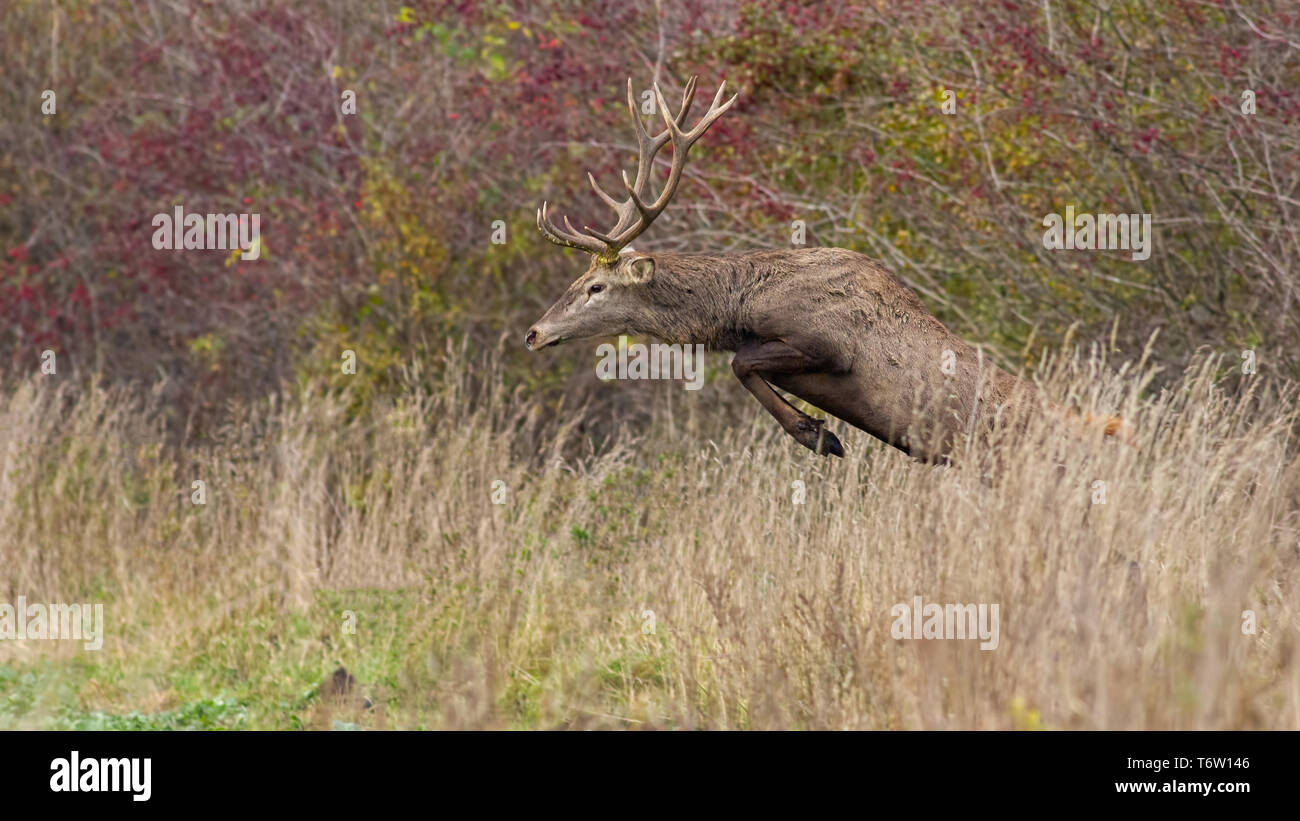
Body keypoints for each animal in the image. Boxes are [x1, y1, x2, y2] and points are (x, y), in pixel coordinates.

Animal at [526, 76, 1124, 463]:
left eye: (595, 286)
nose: (533, 333)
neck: (742, 306)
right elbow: (743, 363)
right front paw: (818, 432)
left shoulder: (826, 340)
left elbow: (741, 363)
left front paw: (818, 435)